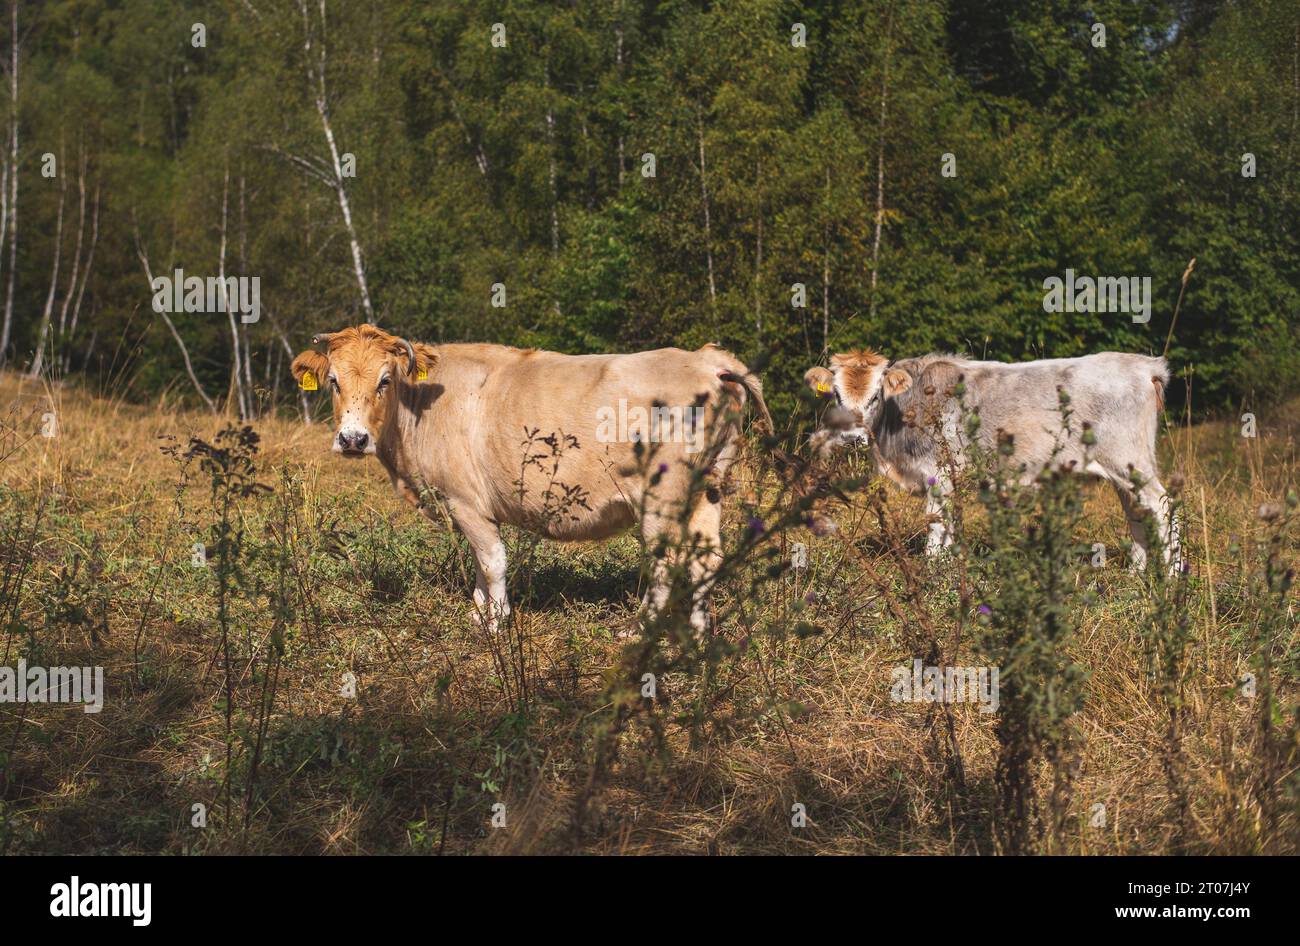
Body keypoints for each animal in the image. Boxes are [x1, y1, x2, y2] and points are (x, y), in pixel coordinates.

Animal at [292, 324, 772, 634]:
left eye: (385, 380)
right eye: (333, 381)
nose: (353, 439)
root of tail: (705, 359)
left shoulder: (465, 500)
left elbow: (492, 561)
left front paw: (495, 624)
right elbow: (480, 565)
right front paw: (479, 614)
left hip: (662, 496)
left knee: (666, 561)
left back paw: (639, 631)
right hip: (708, 487)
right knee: (705, 559)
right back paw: (698, 631)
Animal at [803, 349, 1179, 571]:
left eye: (875, 396)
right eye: (836, 395)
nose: (853, 437)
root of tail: (1143, 365)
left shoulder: (938, 474)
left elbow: (936, 529)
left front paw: (932, 576)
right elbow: (952, 529)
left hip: (1130, 461)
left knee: (1163, 505)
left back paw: (1173, 577)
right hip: (1122, 471)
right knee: (1136, 513)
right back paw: (1135, 573)